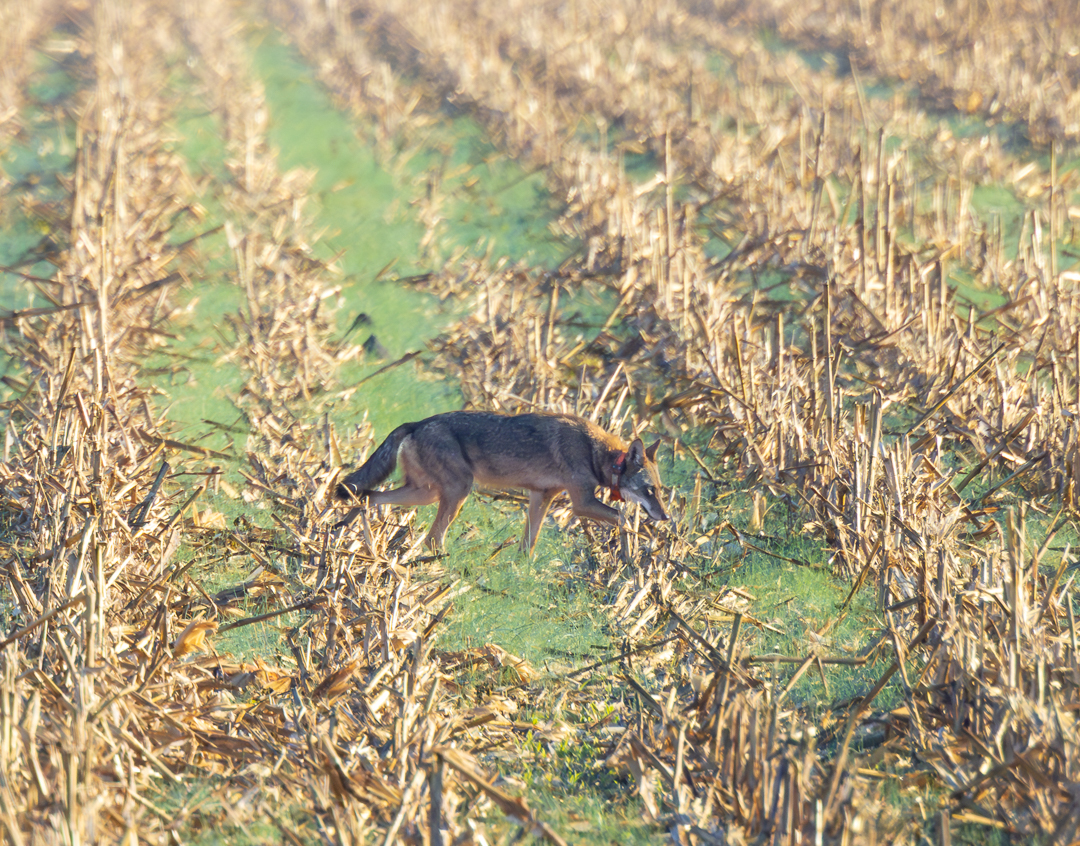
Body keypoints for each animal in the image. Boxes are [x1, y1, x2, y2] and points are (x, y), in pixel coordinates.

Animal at [334, 411, 668, 552]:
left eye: (661, 492)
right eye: (649, 491)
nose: (666, 517)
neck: (597, 453)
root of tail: (417, 422)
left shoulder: (541, 498)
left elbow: (528, 545)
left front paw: (523, 573)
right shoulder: (582, 503)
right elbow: (624, 516)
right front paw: (646, 541)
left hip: (425, 494)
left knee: (368, 496)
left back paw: (350, 536)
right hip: (456, 493)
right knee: (432, 538)